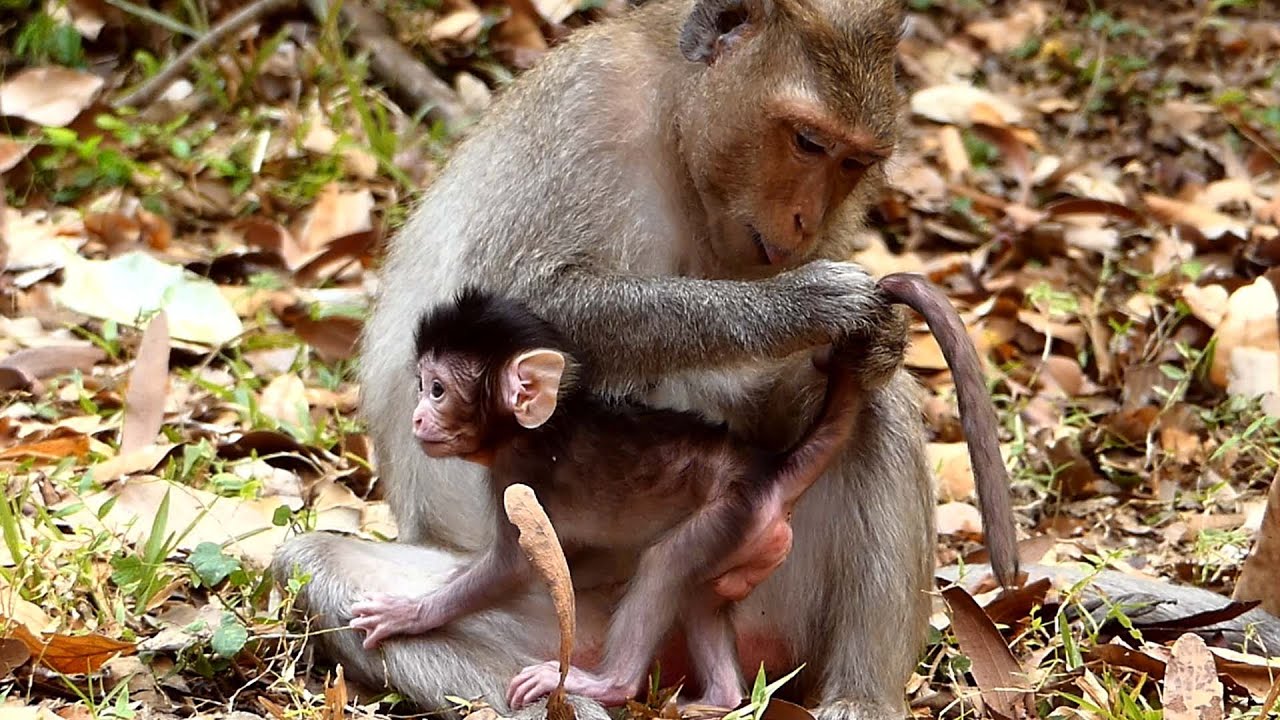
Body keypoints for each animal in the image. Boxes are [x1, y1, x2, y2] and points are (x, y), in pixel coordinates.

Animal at [347, 287, 874, 709]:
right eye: (421, 385)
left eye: (437, 390)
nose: (417, 417)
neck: (533, 429)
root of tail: (769, 470)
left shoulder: (520, 475)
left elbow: (511, 568)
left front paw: (410, 614)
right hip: (742, 540)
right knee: (699, 597)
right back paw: (719, 701)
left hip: (730, 510)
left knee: (667, 562)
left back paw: (609, 685)